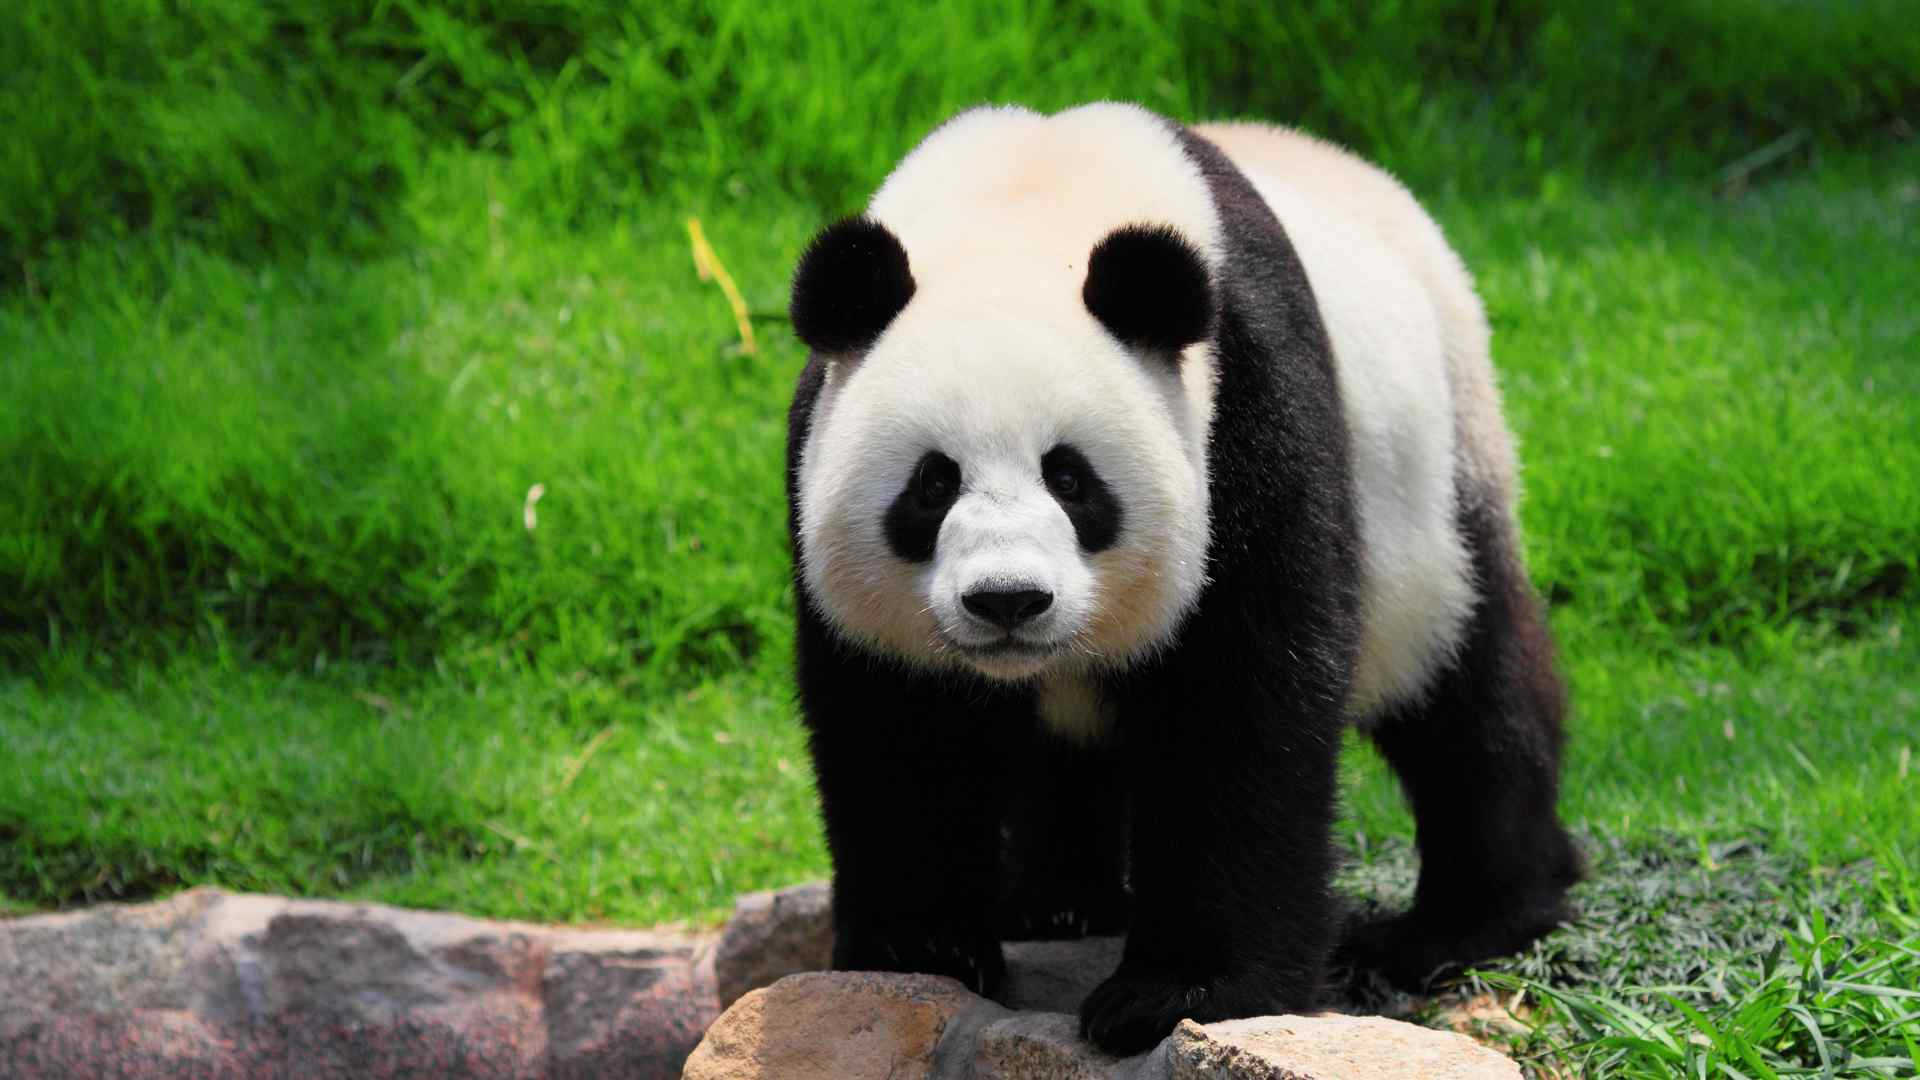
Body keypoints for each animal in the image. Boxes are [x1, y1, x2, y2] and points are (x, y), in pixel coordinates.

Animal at [784, 102, 1581, 1055]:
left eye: (1071, 478)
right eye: (932, 484)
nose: (1009, 601)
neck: (1029, 205)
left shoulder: (1248, 407)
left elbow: (1238, 701)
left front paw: (1176, 992)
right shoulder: (816, 458)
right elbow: (901, 725)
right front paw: (922, 948)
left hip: (1439, 478)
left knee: (1470, 685)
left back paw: (1465, 924)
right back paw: (1058, 903)